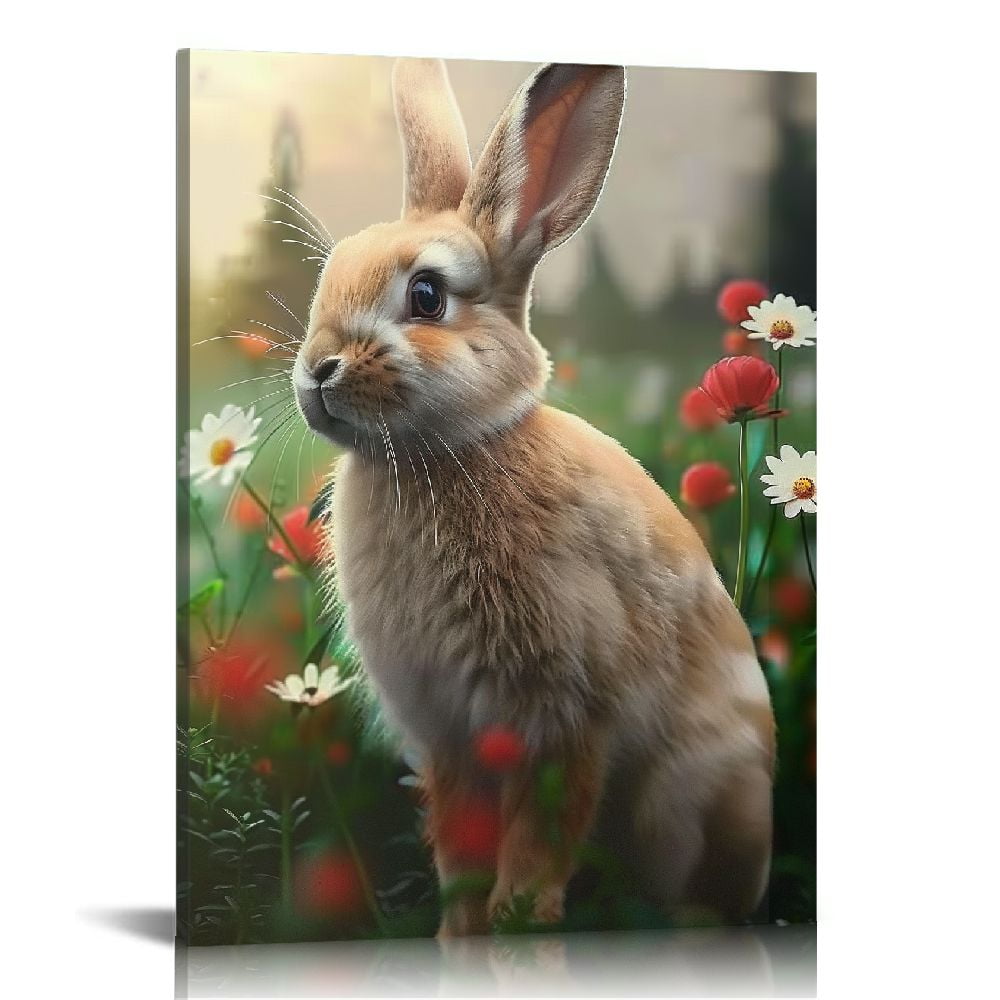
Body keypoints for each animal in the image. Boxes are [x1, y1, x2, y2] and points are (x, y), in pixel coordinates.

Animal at [292, 58, 775, 936]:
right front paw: (459, 937)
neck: (452, 450)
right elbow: (459, 853)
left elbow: (534, 855)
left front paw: (520, 933)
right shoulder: (449, 737)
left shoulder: (564, 719)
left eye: (426, 296)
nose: (317, 371)